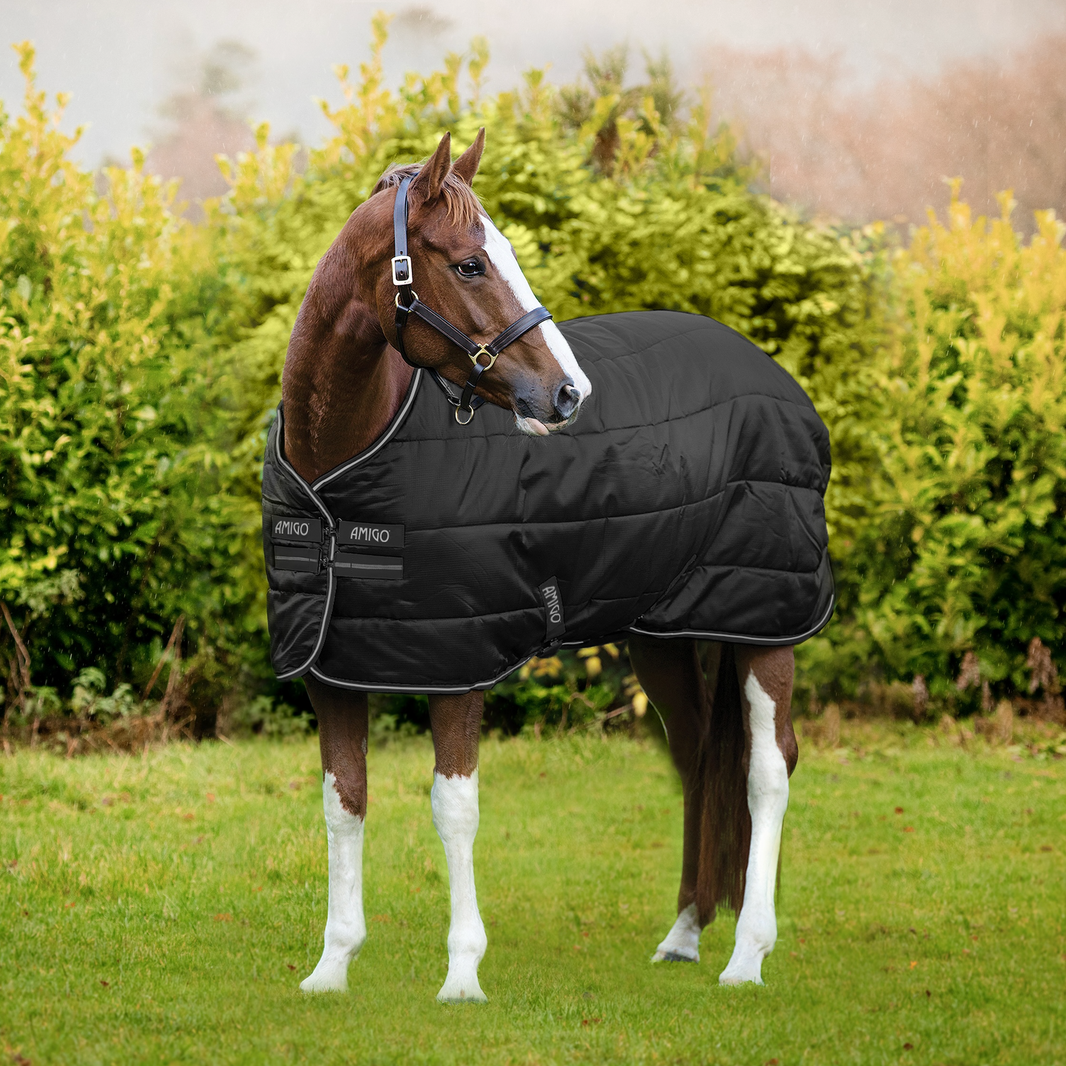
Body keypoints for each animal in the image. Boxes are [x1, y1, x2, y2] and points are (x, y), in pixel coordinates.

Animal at [266, 129, 832, 1001]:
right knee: (701, 757)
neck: (339, 481)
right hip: (663, 636)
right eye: (470, 263)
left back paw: (746, 955)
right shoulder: (333, 667)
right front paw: (331, 968)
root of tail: (772, 376)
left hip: (766, 622)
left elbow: (453, 808)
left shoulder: (457, 665)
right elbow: (344, 802)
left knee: (768, 768)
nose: (568, 393)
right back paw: (685, 934)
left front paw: (462, 975)